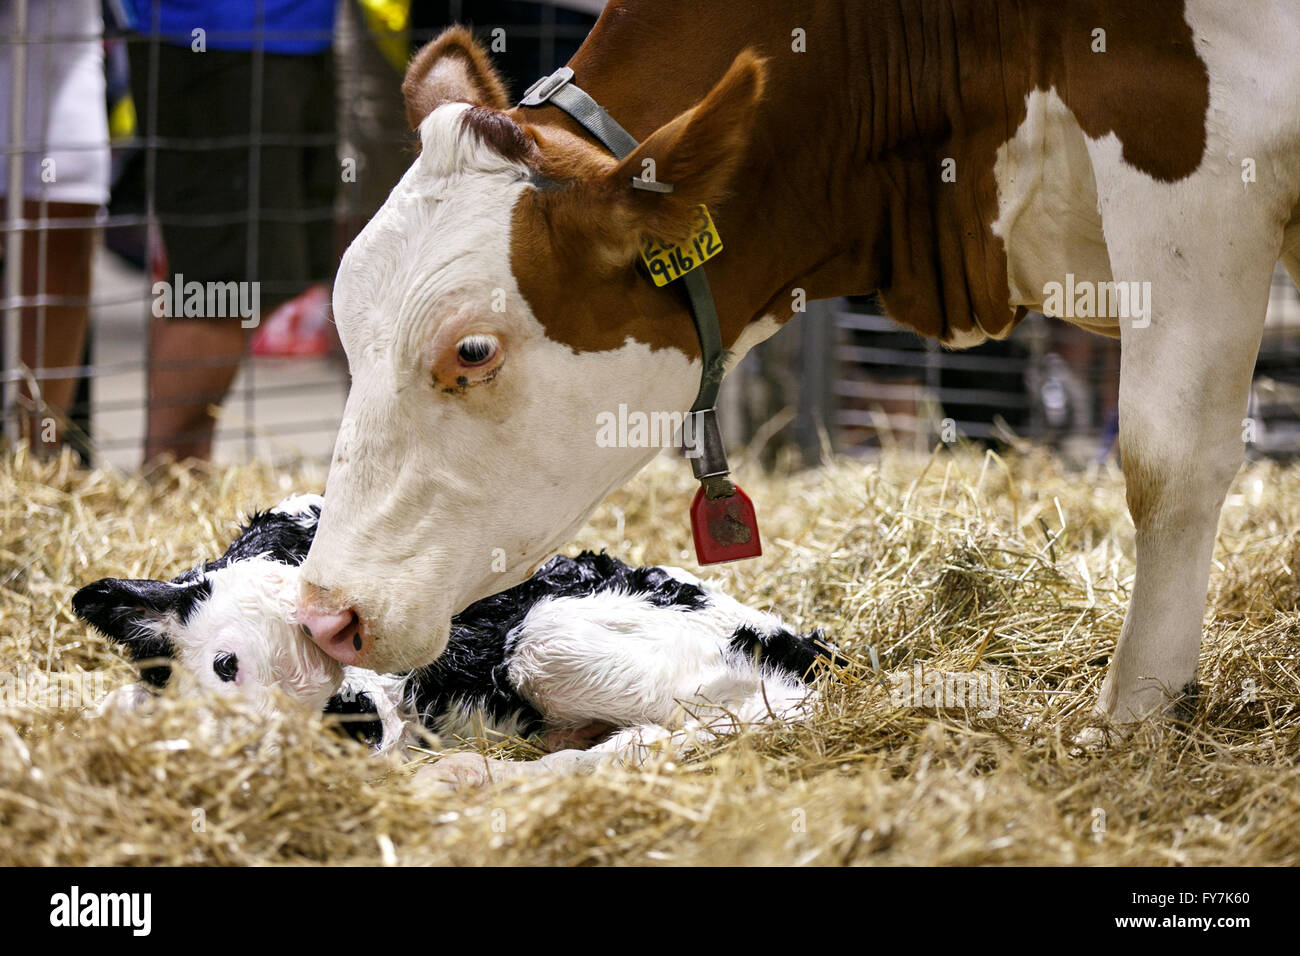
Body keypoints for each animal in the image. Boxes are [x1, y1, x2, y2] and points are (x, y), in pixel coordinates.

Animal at [295, 0, 1300, 725]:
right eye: (347, 321)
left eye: (472, 350)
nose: (324, 616)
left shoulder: (1192, 170)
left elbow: (1168, 462)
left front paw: (1135, 717)